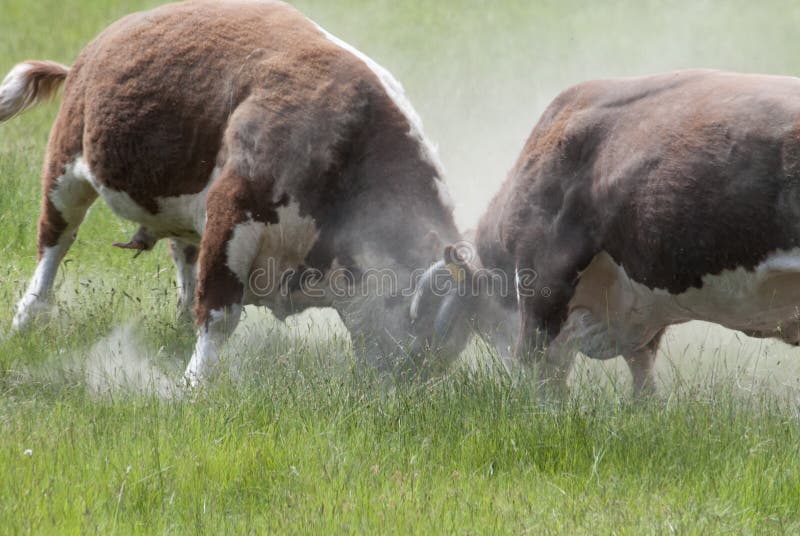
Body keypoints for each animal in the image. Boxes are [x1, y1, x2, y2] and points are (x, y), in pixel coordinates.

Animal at [1, 0, 470, 385]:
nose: (406, 385)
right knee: (55, 241)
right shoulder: (233, 216)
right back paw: (27, 318)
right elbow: (220, 312)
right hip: (66, 170)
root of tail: (97, 46)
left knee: (182, 255)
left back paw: (177, 324)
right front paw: (194, 386)